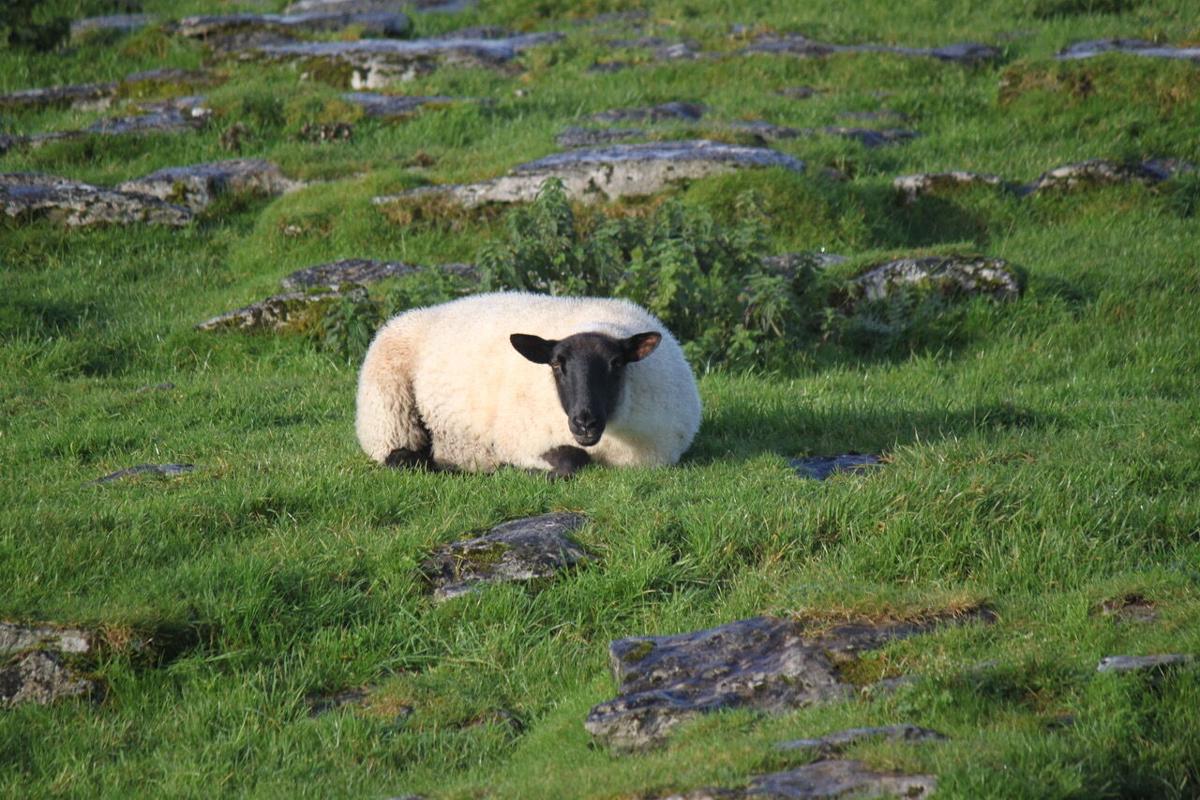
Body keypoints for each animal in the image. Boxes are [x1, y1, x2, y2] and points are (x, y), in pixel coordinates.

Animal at [355, 291, 702, 476]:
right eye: (557, 365)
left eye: (616, 364)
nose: (584, 422)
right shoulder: (519, 440)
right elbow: (569, 459)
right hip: (389, 415)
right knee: (401, 457)